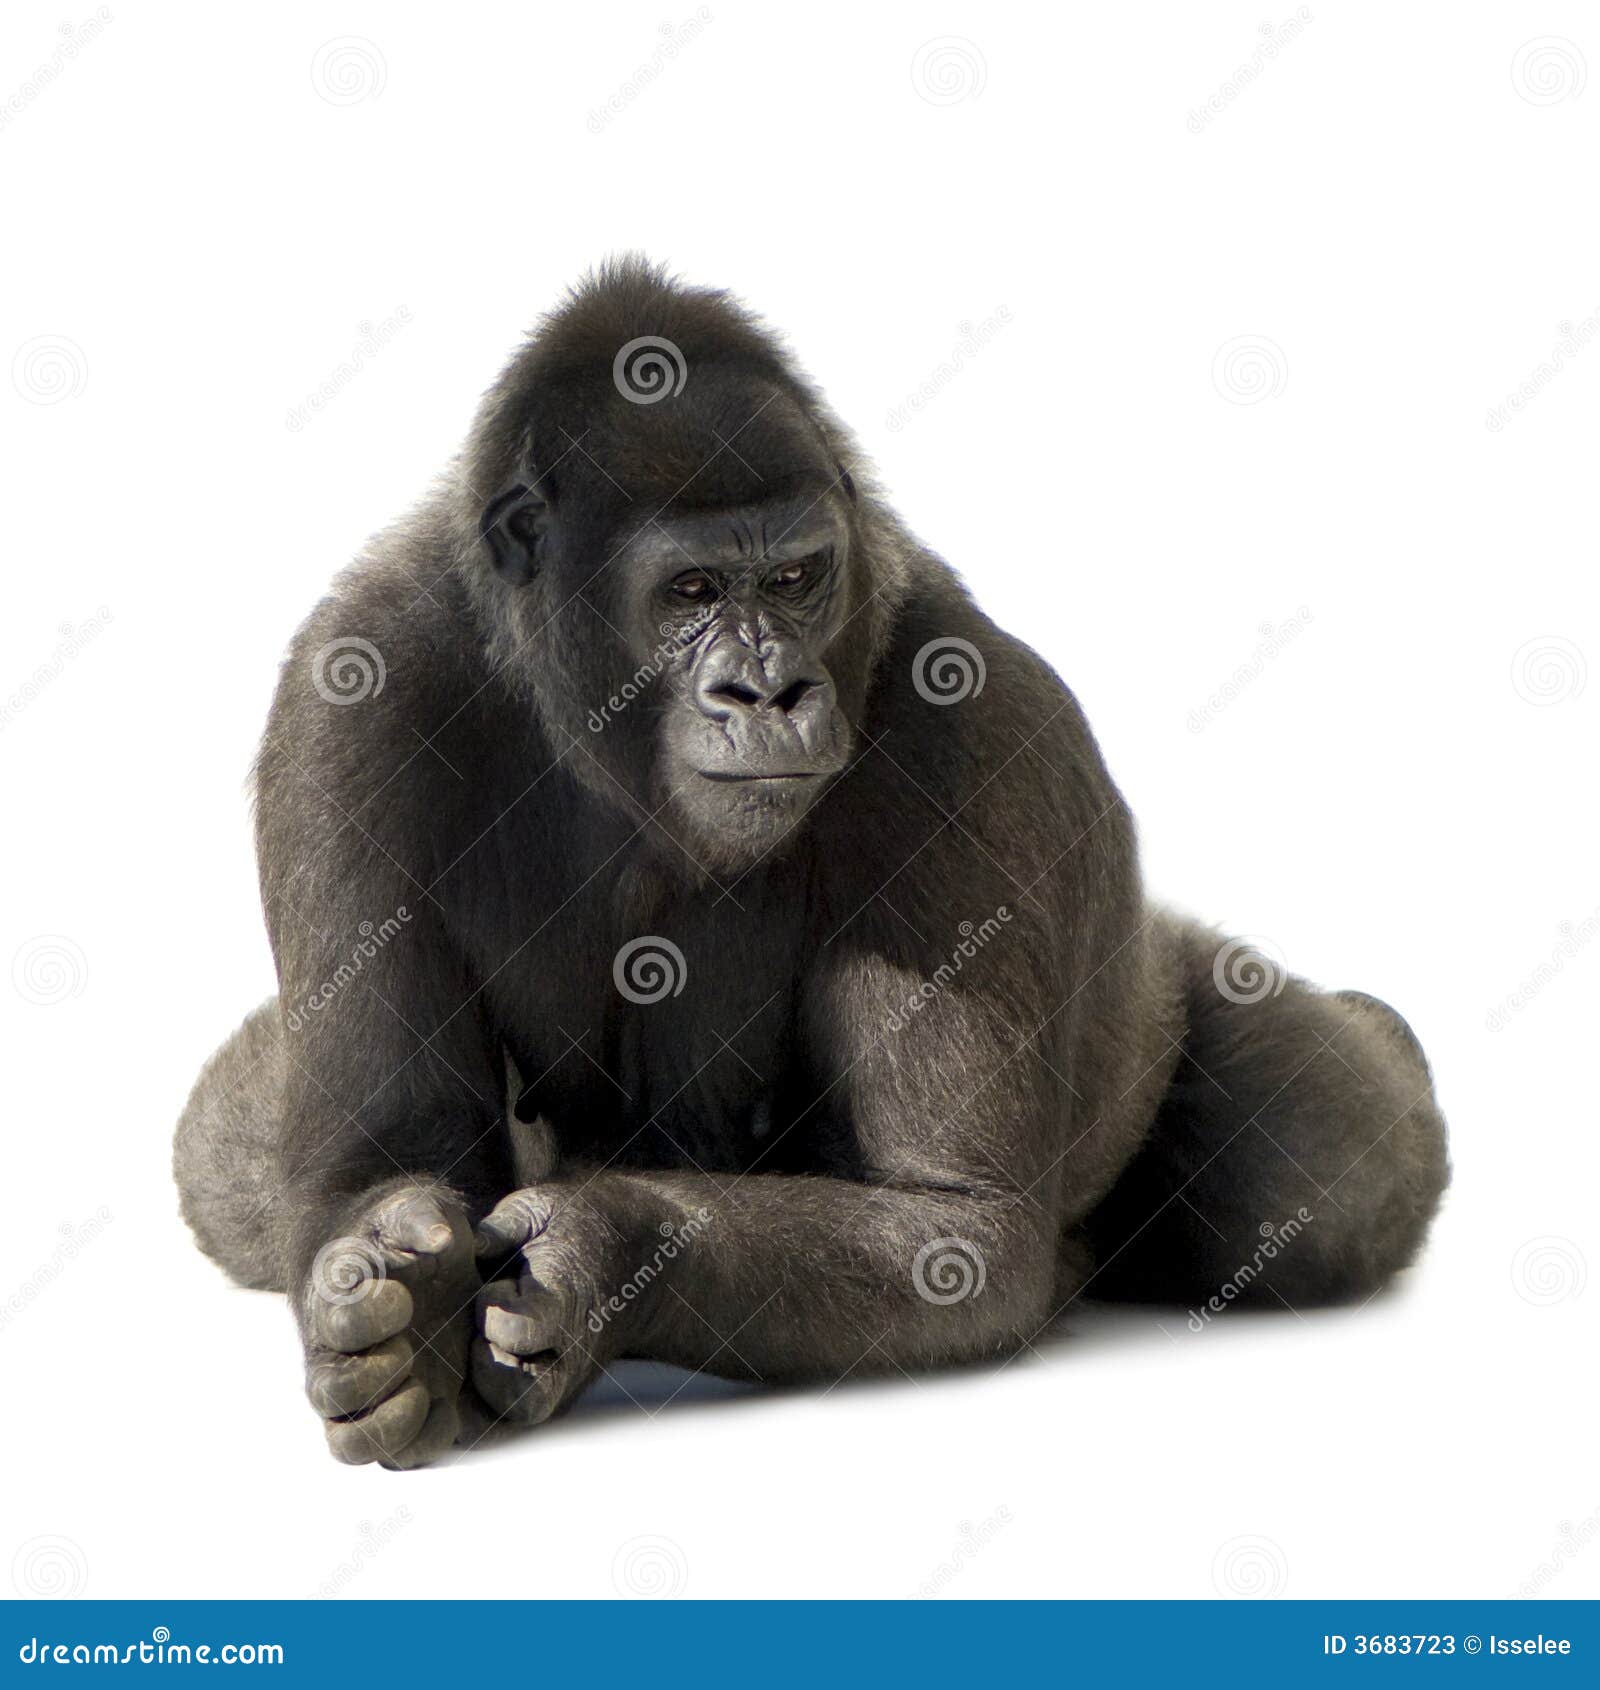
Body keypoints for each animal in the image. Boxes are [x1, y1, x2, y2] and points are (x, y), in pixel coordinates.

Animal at [173, 258, 1449, 1467]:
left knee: (1315, 1164)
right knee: (223, 1153)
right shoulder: (351, 684)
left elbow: (955, 1226)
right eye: (690, 591)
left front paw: (595, 1258)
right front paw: (399, 1306)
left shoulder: (978, 713)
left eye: (793, 578)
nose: (767, 690)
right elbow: (375, 1158)